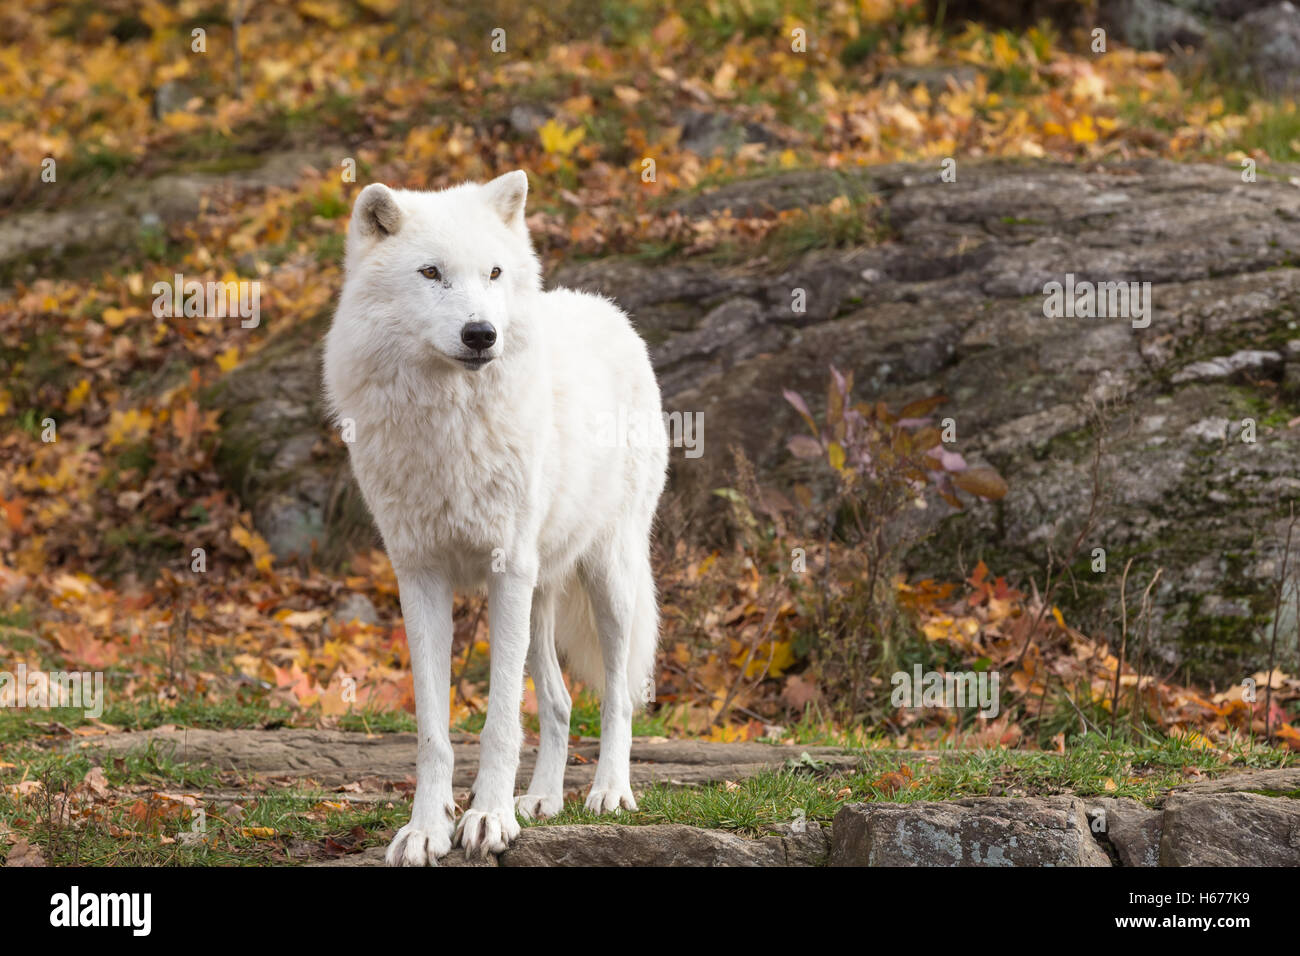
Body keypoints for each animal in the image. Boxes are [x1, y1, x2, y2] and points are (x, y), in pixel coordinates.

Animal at [323, 171, 668, 865]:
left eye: (494, 272)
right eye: (431, 272)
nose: (482, 333)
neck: (449, 423)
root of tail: (606, 309)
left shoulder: (506, 572)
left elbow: (501, 720)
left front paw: (487, 819)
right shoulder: (420, 577)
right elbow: (434, 731)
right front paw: (427, 829)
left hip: (609, 579)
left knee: (617, 697)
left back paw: (608, 793)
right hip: (540, 597)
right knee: (560, 702)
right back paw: (541, 801)